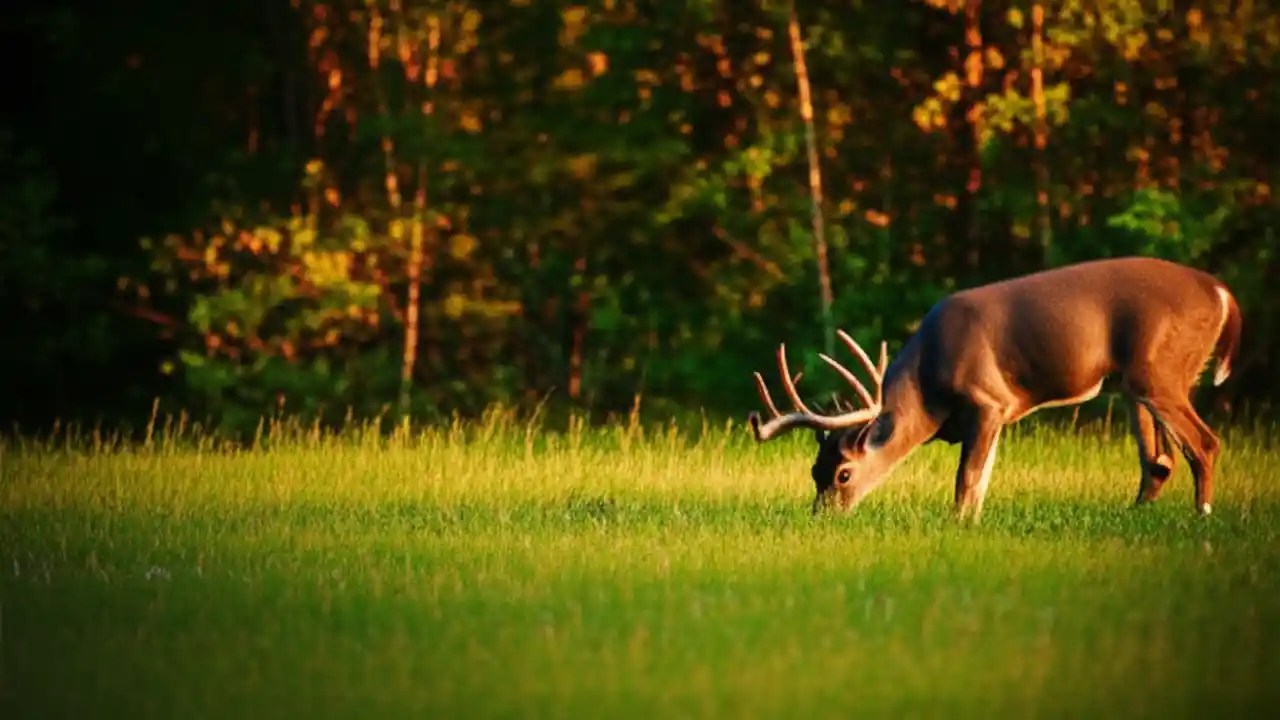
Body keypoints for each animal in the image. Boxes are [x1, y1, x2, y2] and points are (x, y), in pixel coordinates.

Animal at [747, 256, 1242, 521]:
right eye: (815, 471)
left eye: (844, 474)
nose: (822, 516)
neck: (928, 391)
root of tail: (1223, 295)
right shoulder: (999, 415)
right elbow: (983, 479)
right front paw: (972, 526)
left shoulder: (987, 400)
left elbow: (967, 478)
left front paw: (955, 525)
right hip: (1132, 383)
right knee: (1158, 461)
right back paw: (1136, 514)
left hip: (1158, 370)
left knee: (1205, 443)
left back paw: (1202, 516)